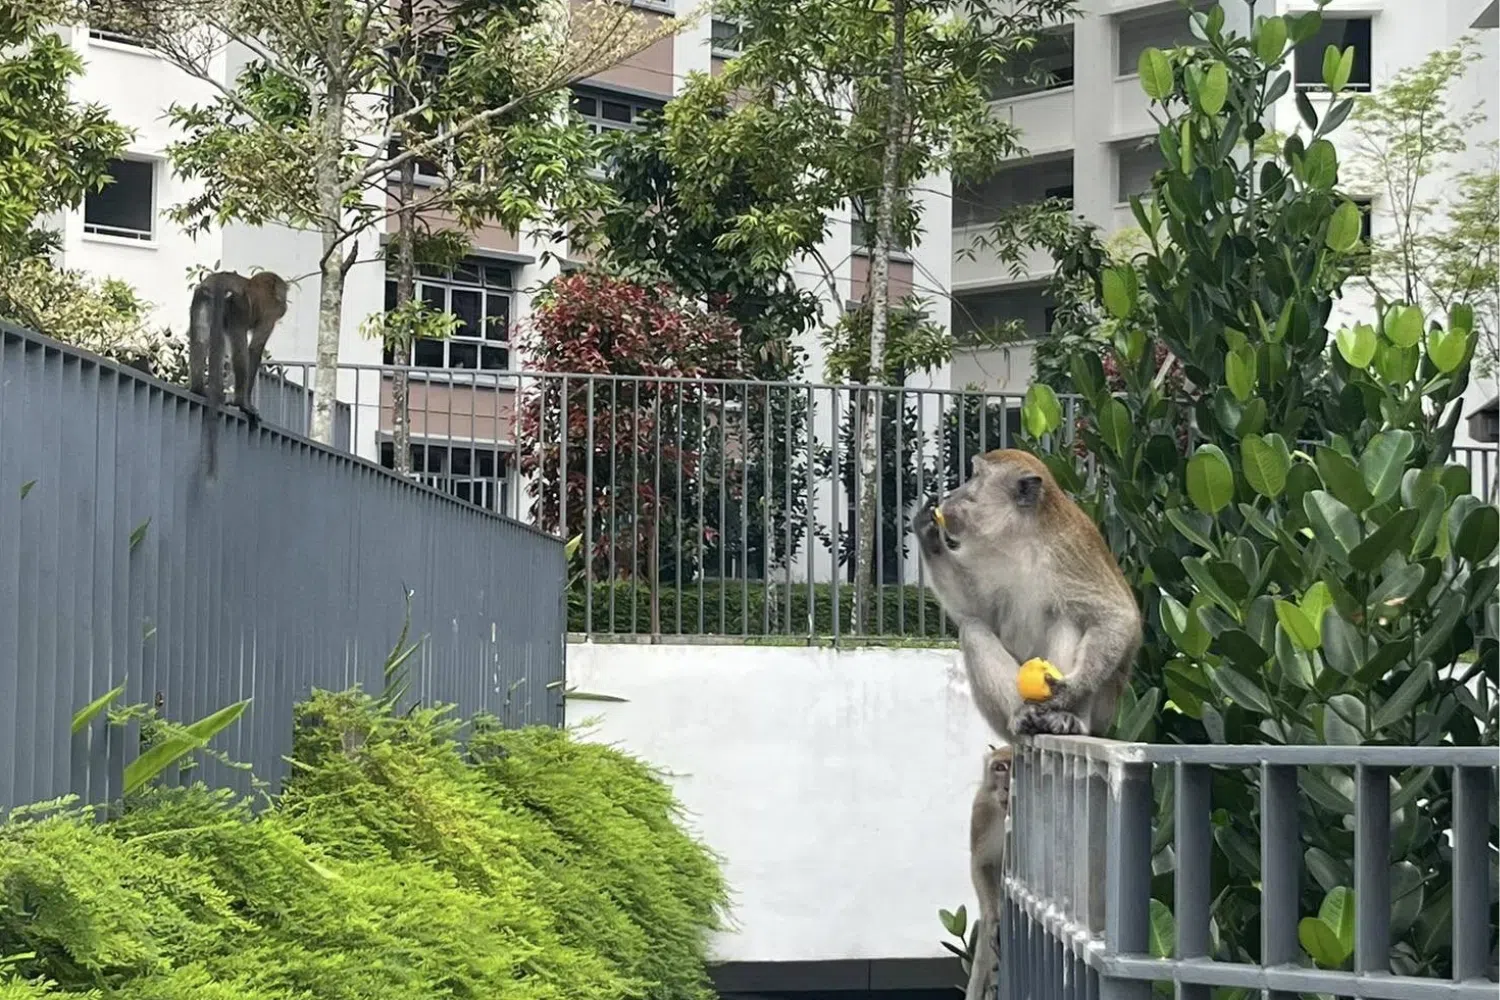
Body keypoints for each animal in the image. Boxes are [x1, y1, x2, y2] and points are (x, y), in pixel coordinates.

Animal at [187, 270, 288, 477]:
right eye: (283, 292)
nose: (285, 301)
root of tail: (218, 281)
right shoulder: (271, 312)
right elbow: (254, 349)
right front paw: (244, 403)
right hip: (237, 305)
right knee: (239, 345)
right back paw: (241, 403)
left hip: (202, 299)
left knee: (200, 339)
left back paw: (199, 389)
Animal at [914, 448, 1141, 742]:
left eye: (975, 476)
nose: (951, 493)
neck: (1021, 536)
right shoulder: (985, 557)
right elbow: (975, 609)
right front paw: (929, 536)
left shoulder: (1070, 551)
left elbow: (1117, 617)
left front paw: (1073, 689)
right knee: (973, 629)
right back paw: (1021, 715)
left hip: (1104, 710)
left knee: (1067, 619)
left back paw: (1068, 718)